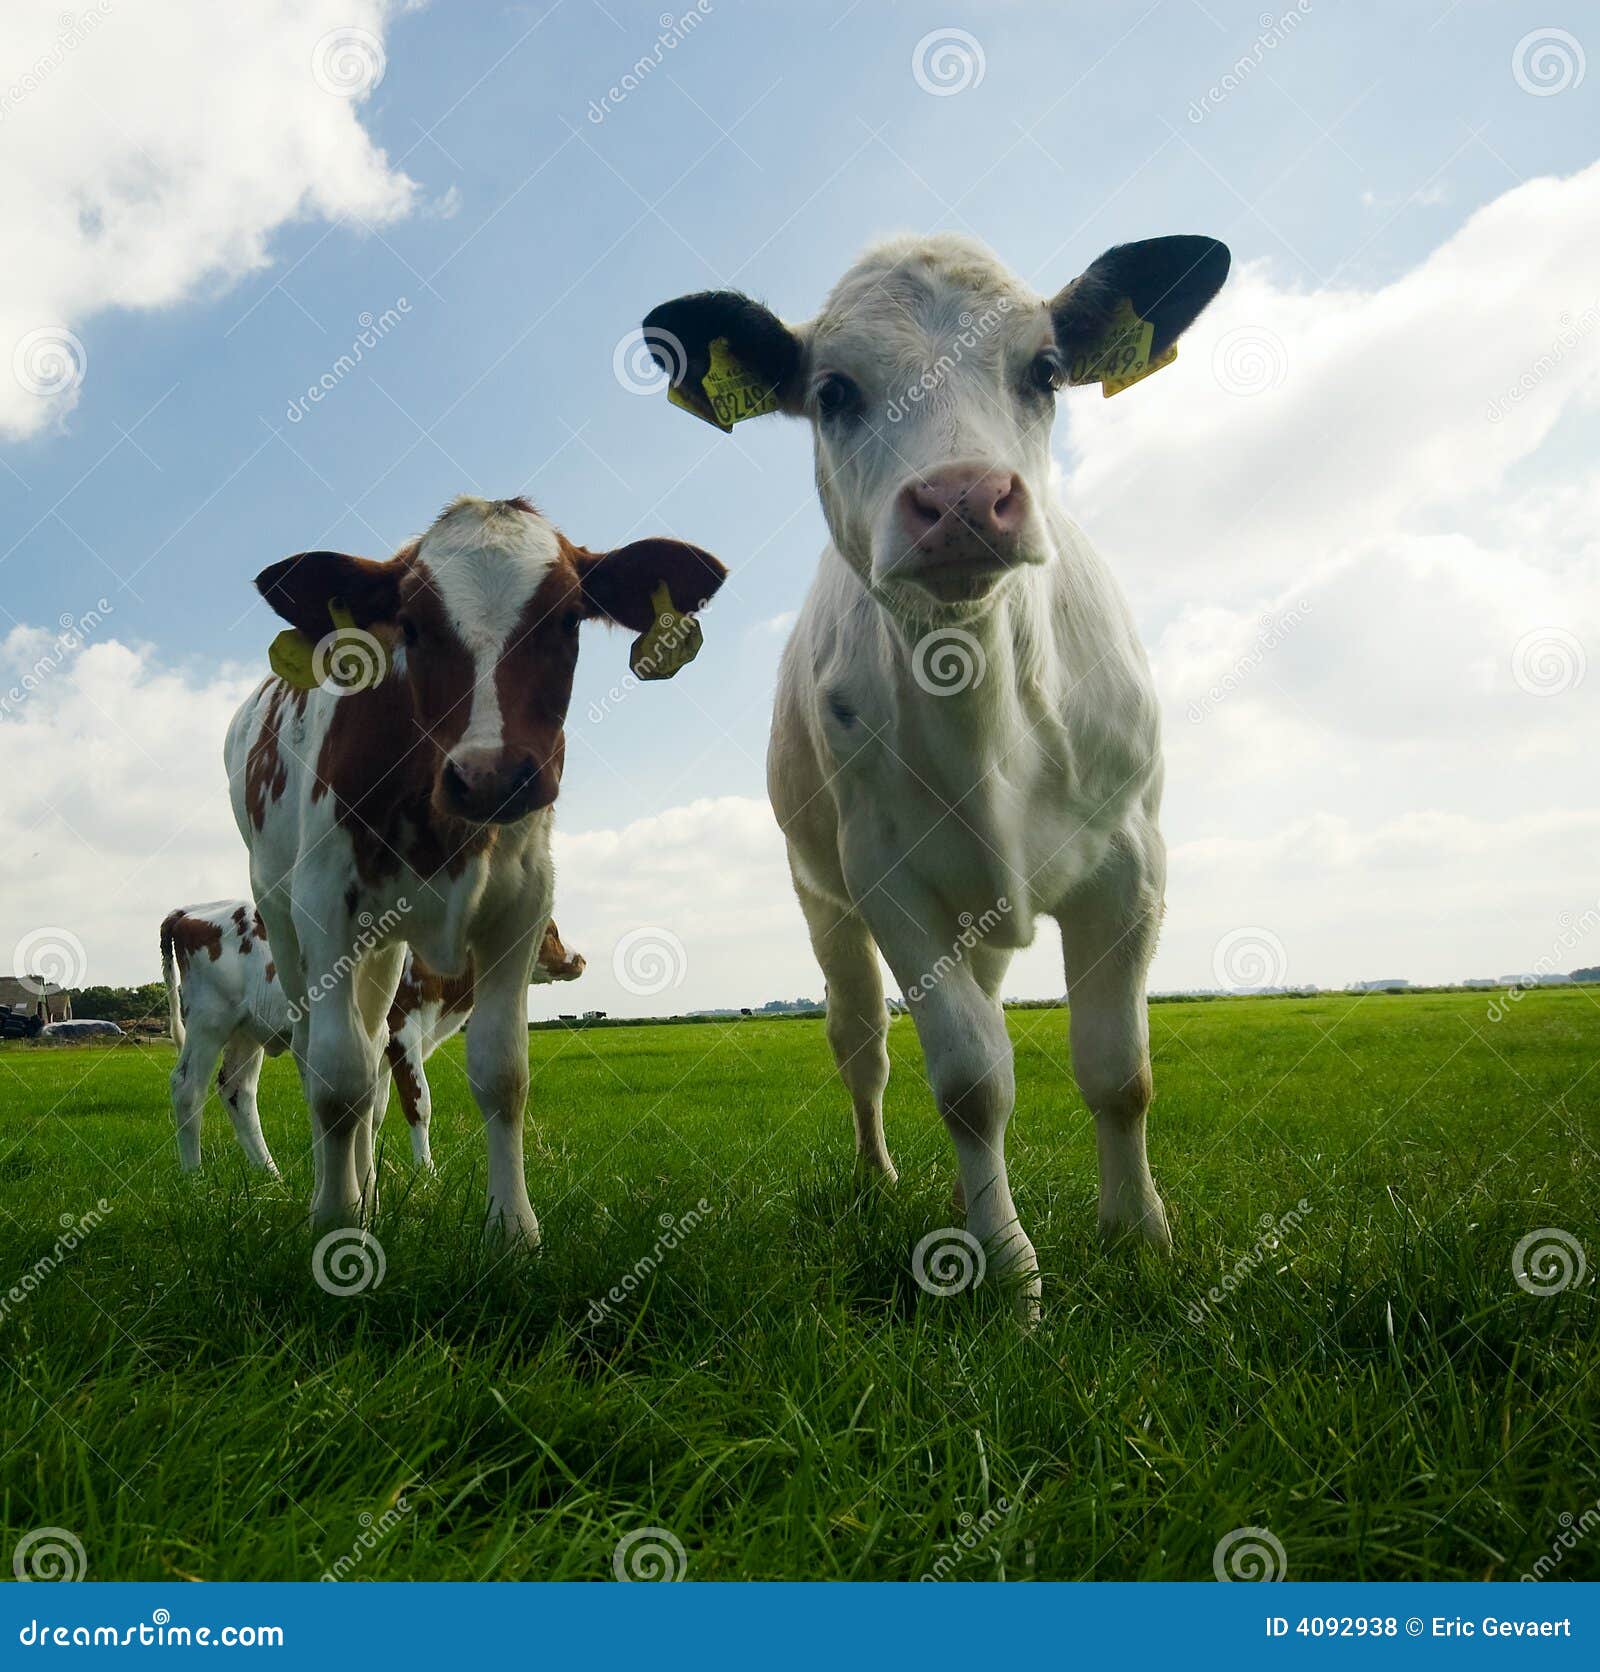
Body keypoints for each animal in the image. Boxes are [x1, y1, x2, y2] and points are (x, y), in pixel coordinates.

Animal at [161, 903, 584, 1173]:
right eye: (549, 930)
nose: (579, 959)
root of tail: (191, 911)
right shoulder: (402, 1032)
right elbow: (418, 1103)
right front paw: (426, 1173)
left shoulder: (378, 1051)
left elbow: (374, 1113)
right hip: (209, 1020)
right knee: (187, 1088)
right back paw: (194, 1176)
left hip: (247, 1029)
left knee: (236, 1091)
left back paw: (270, 1174)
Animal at [225, 494, 726, 1238]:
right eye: (410, 624)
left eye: (567, 617)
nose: (490, 776)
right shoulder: (325, 907)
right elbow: (337, 1079)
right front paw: (339, 1223)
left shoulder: (521, 908)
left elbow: (502, 1074)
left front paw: (512, 1229)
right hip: (286, 926)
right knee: (324, 1053)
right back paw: (335, 1194)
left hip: (382, 952)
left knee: (370, 1054)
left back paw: (371, 1190)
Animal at [644, 233, 1229, 1308]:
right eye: (833, 391)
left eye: (1045, 370)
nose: (961, 500)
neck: (991, 710)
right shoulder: (890, 880)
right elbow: (969, 1083)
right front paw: (1006, 1273)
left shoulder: (1133, 864)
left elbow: (1119, 1070)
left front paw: (1138, 1239)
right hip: (825, 897)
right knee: (862, 1044)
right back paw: (880, 1176)